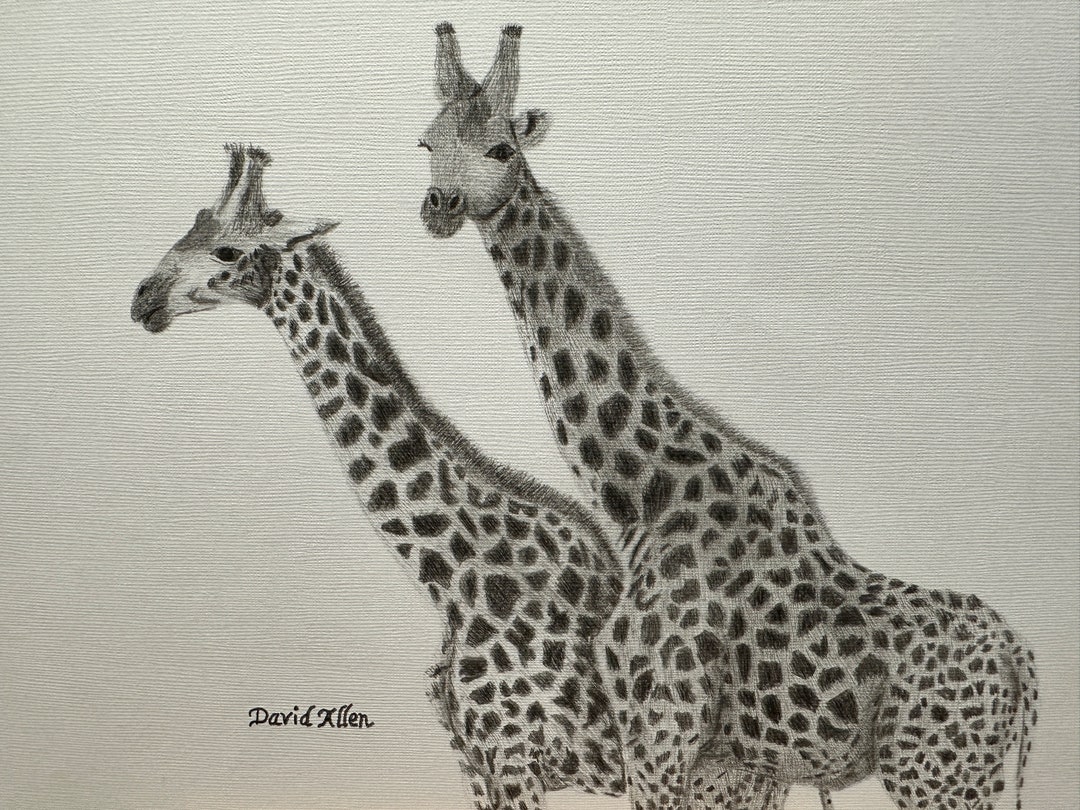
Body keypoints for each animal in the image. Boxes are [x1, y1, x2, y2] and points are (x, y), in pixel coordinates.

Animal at [128, 145, 783, 810]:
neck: (453, 580)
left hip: (706, 781)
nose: (142, 300)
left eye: (226, 252)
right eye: (189, 228)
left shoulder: (516, 754)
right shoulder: (474, 763)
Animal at [418, 24, 1038, 810]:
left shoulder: (661, 735)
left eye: (501, 148)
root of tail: (1022, 662)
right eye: (426, 142)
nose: (439, 205)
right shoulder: (715, 758)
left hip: (937, 774)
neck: (640, 493)